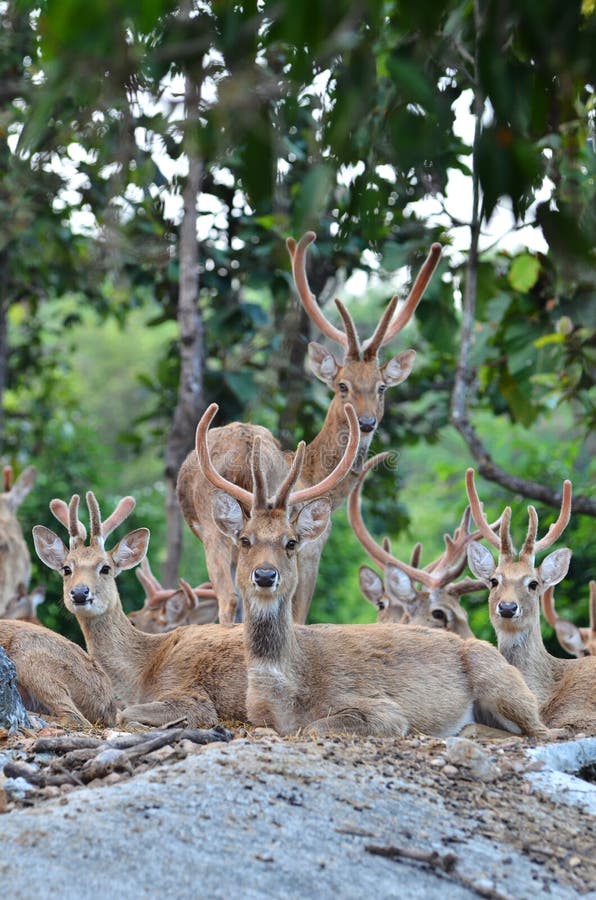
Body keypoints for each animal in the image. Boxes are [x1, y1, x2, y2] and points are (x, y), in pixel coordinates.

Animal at [177, 232, 442, 625]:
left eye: (381, 387)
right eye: (343, 385)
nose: (367, 422)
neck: (320, 478)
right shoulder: (310, 546)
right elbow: (299, 615)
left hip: (221, 533)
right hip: (219, 531)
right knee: (229, 601)